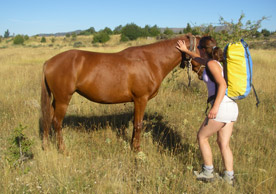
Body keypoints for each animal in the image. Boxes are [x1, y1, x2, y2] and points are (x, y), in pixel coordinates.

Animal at [40, 34, 202, 153]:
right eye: (205, 48)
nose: (203, 73)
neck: (150, 61)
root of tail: (49, 62)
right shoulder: (141, 99)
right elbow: (138, 124)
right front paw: (136, 150)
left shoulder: (137, 101)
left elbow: (135, 124)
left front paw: (132, 146)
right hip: (63, 100)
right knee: (57, 122)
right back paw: (62, 150)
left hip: (56, 100)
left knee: (48, 119)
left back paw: (46, 147)